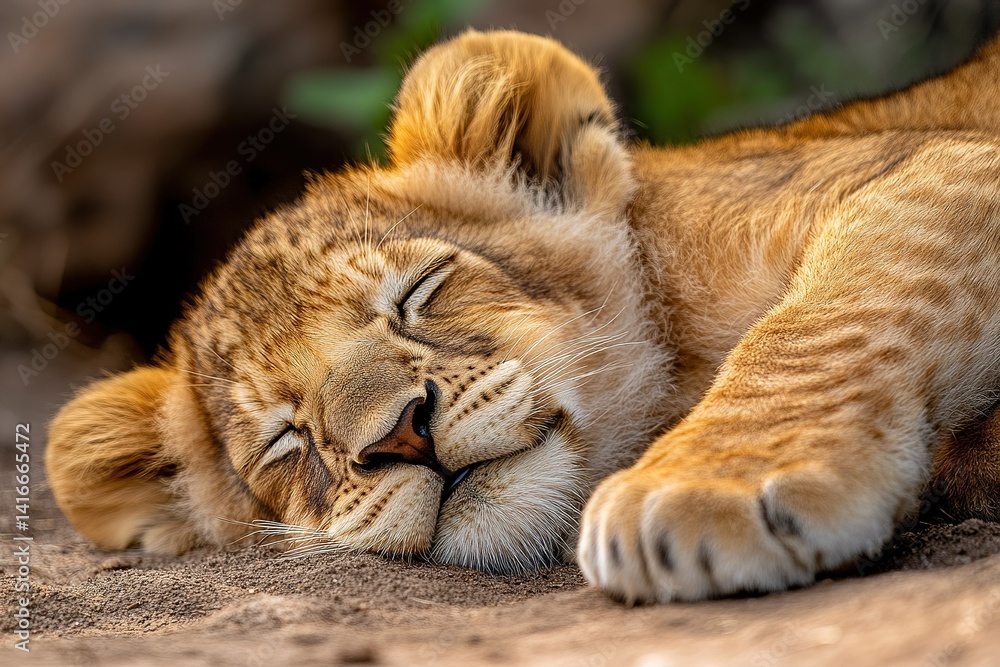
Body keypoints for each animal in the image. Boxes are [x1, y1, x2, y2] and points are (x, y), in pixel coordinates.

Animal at [46, 29, 1000, 603]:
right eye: (287, 439)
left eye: (420, 290)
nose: (401, 435)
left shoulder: (945, 160)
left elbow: (816, 324)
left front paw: (707, 487)